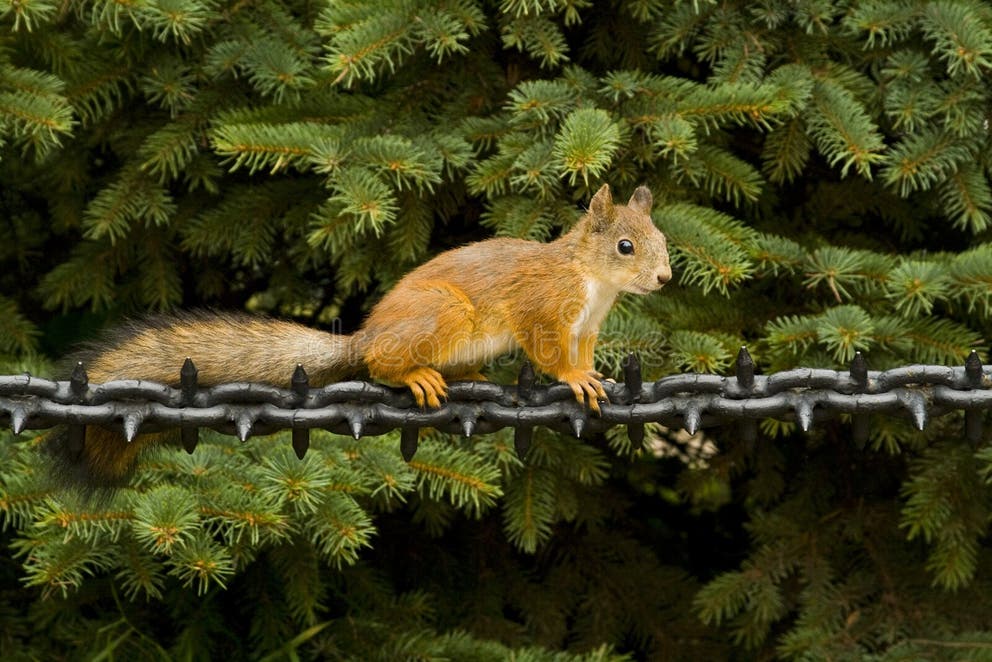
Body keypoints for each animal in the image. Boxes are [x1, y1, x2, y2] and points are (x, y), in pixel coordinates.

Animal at [44, 183, 671, 487]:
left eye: (662, 239)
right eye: (625, 246)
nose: (665, 278)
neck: (591, 281)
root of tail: (363, 338)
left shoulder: (586, 327)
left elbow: (583, 354)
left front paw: (592, 374)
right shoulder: (543, 309)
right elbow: (546, 350)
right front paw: (574, 379)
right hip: (443, 316)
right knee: (379, 368)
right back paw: (416, 374)